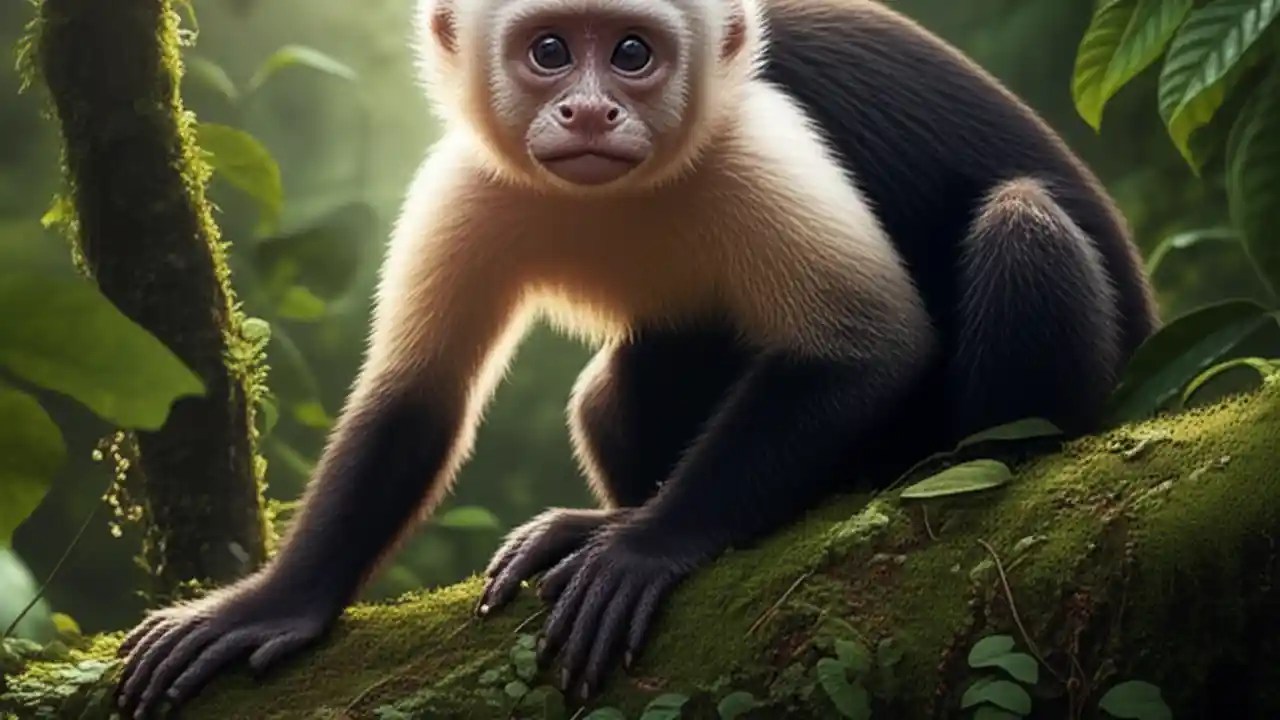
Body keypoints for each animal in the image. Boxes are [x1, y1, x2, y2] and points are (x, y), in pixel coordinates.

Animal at [114, 0, 1158, 715]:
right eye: (548, 52)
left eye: (631, 53)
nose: (588, 113)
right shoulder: (468, 183)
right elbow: (414, 403)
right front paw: (271, 606)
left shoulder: (756, 137)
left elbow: (868, 348)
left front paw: (645, 547)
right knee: (621, 378)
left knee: (1020, 222)